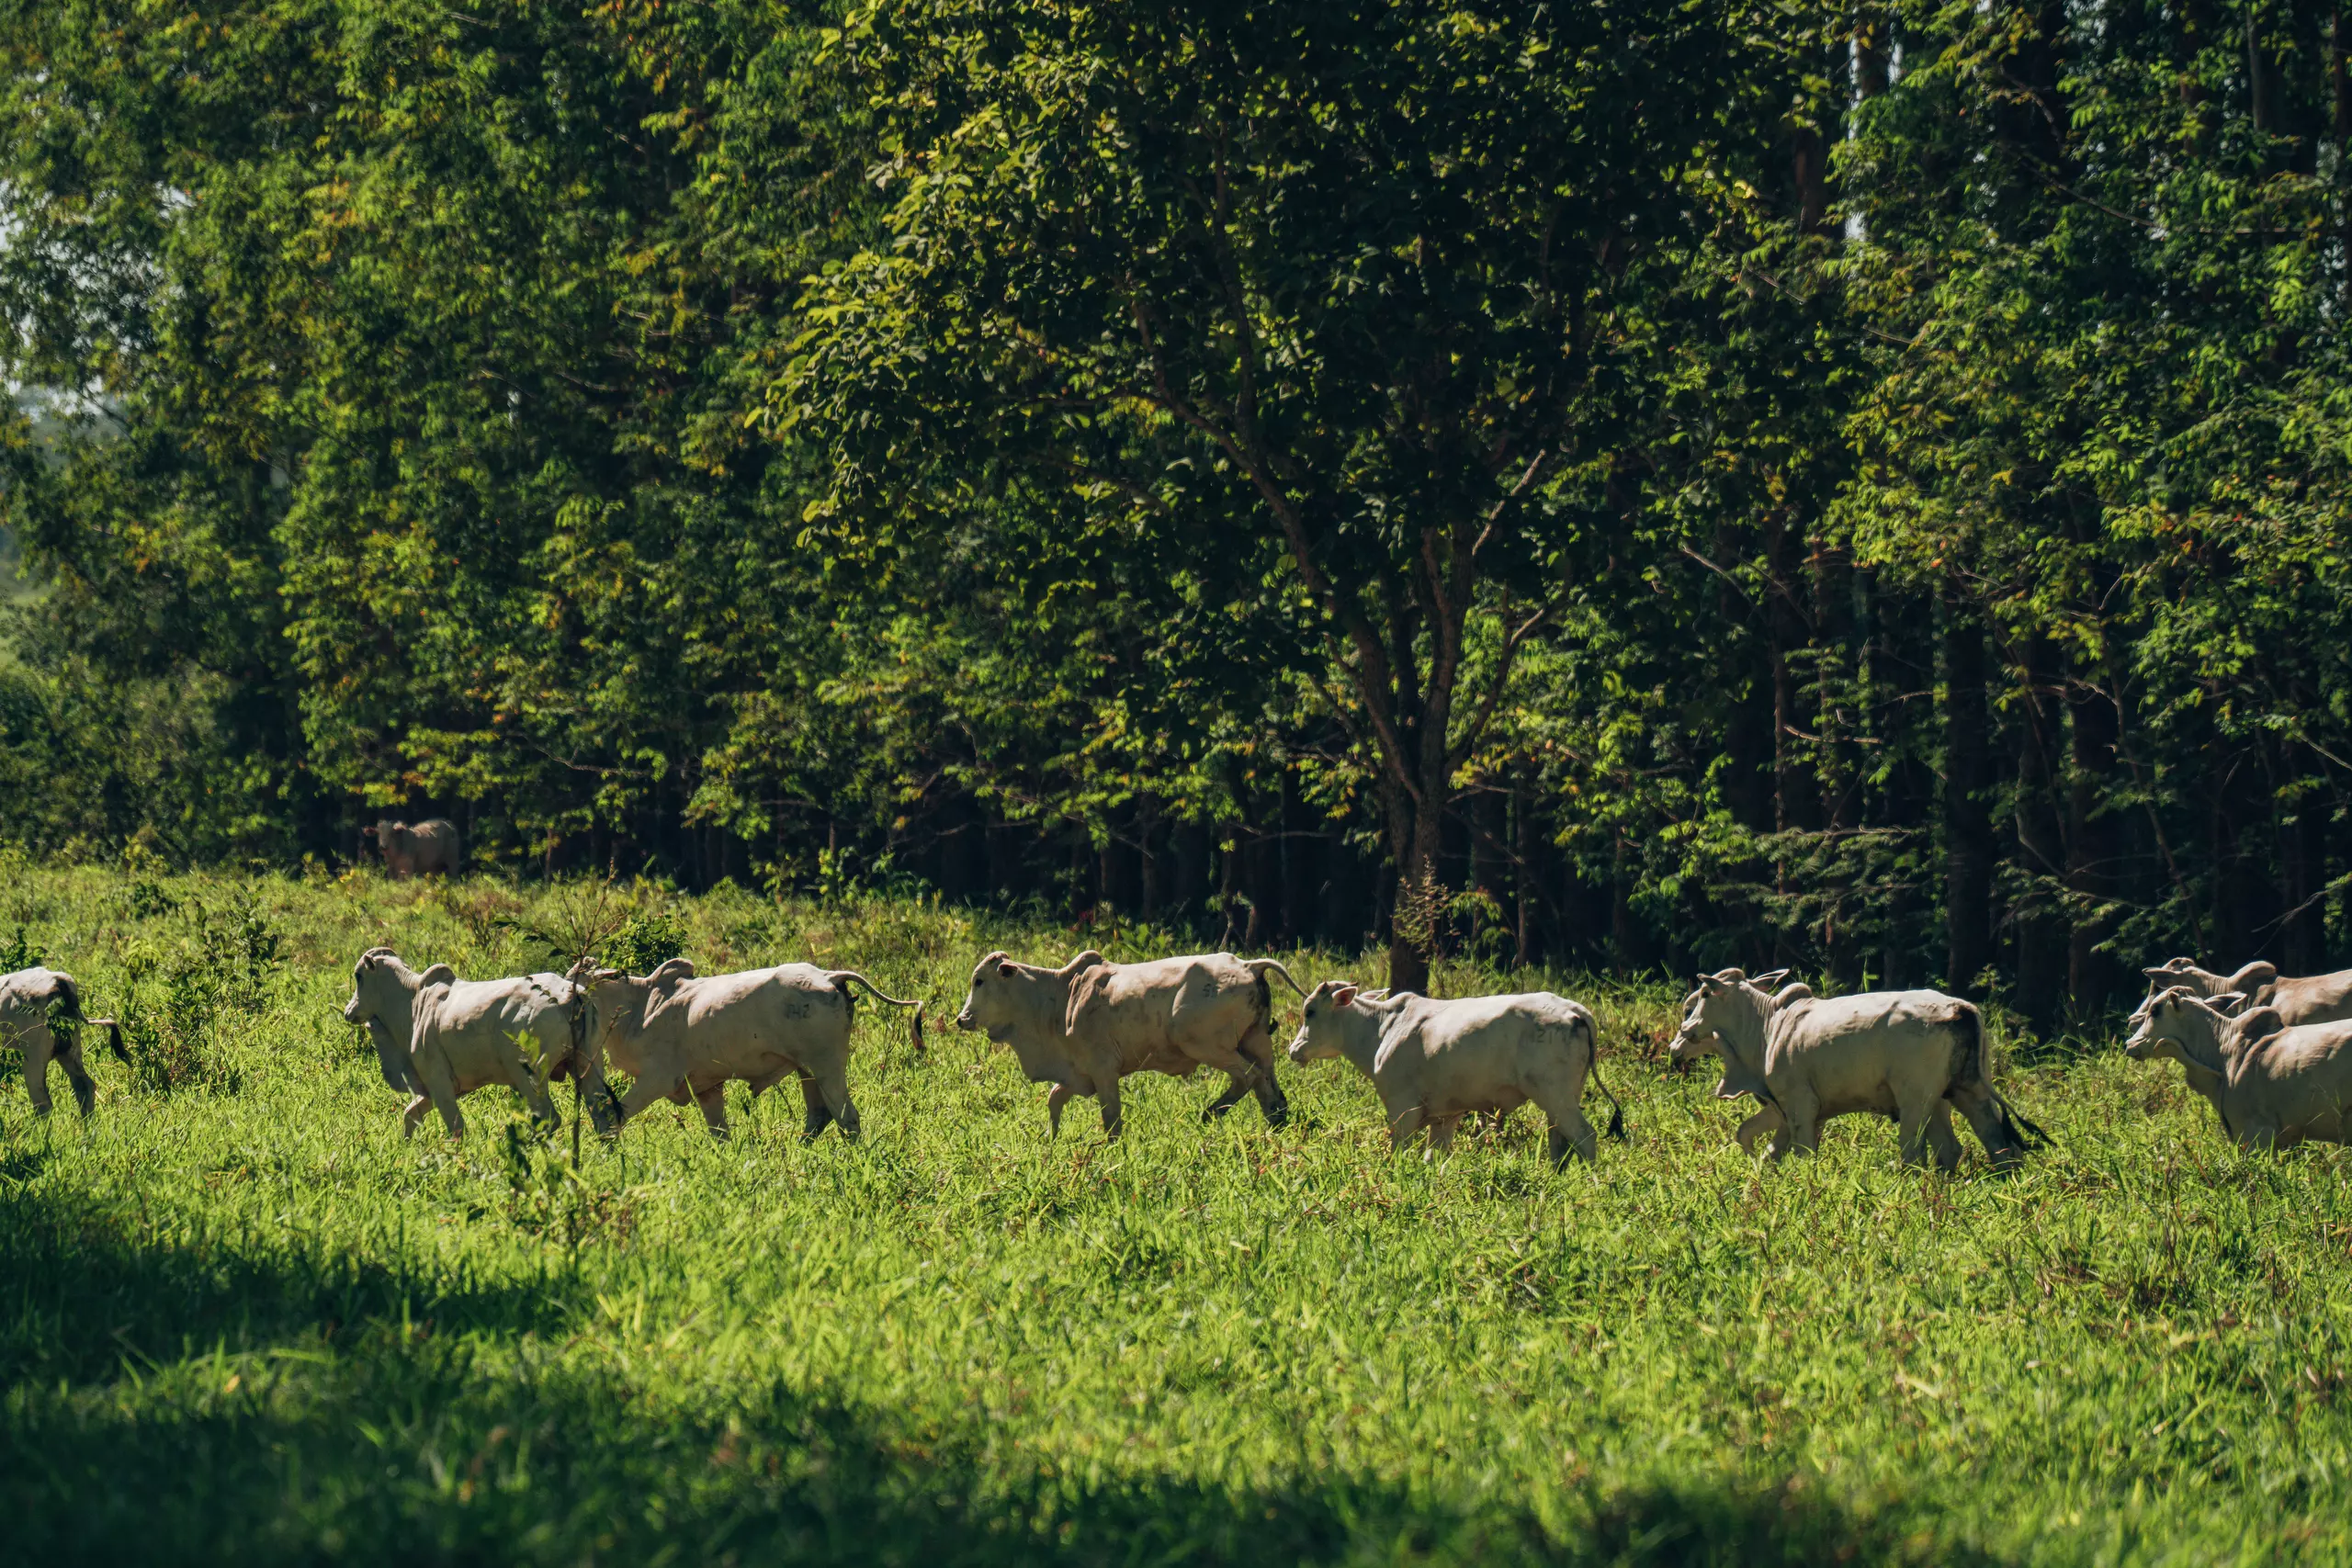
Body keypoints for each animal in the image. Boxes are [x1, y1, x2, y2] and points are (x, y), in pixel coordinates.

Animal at [341, 947, 608, 1139]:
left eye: (358, 976)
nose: (348, 1011)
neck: (412, 1003)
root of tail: (569, 994)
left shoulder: (438, 1081)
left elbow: (456, 1127)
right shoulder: (442, 1086)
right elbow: (410, 1115)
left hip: (528, 1074)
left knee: (547, 1118)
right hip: (588, 1063)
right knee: (602, 1112)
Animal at [582, 960, 923, 1141]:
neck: (641, 1008)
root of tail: (828, 975)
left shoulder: (658, 1079)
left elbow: (613, 1115)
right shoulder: (707, 1087)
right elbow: (719, 1134)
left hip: (826, 1065)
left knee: (847, 1117)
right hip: (807, 1070)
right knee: (819, 1115)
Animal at [953, 949, 1298, 1138]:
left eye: (979, 981)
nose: (961, 1018)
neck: (1061, 997)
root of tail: (1248, 965)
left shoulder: (1104, 1071)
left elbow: (1111, 1121)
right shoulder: (1077, 1074)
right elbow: (1054, 1100)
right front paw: (1050, 1140)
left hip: (1206, 1046)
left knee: (1249, 1076)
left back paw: (1210, 1113)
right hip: (1256, 1042)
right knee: (1270, 1088)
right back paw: (1274, 1126)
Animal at [1286, 981, 1624, 1164]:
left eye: (1309, 1011)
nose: (1293, 1049)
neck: (1382, 1030)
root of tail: (1575, 1011)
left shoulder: (1402, 1109)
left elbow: (1398, 1152)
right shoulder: (1446, 1116)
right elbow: (1433, 1156)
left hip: (1554, 1095)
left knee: (1585, 1137)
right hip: (1561, 1098)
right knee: (1560, 1144)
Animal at [1670, 967, 2046, 1168]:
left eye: (1704, 994)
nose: (1680, 1039)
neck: (1767, 1026)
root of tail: (1959, 1008)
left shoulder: (1799, 1104)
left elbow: (1800, 1152)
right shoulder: (1789, 1111)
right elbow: (1764, 1147)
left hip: (1916, 1099)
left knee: (1914, 1151)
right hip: (1962, 1092)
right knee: (1990, 1145)